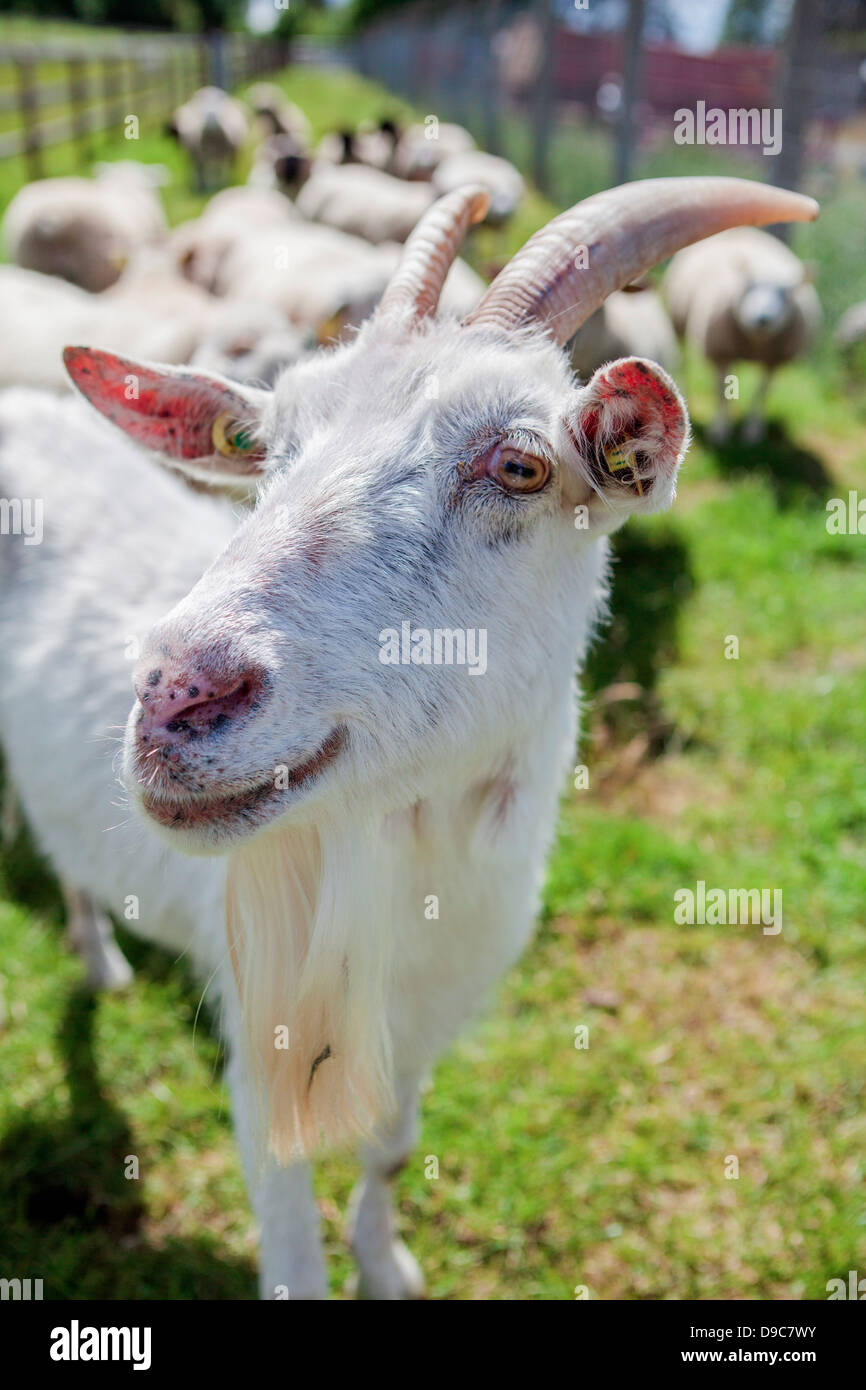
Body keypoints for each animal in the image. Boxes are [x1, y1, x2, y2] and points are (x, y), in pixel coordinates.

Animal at [664, 226, 821, 442]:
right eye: (749, 287)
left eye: (785, 294)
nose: (763, 319)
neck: (756, 342)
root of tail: (744, 229)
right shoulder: (720, 352)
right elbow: (720, 393)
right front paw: (720, 431)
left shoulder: (774, 361)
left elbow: (761, 394)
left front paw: (752, 431)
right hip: (677, 322)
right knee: (683, 362)